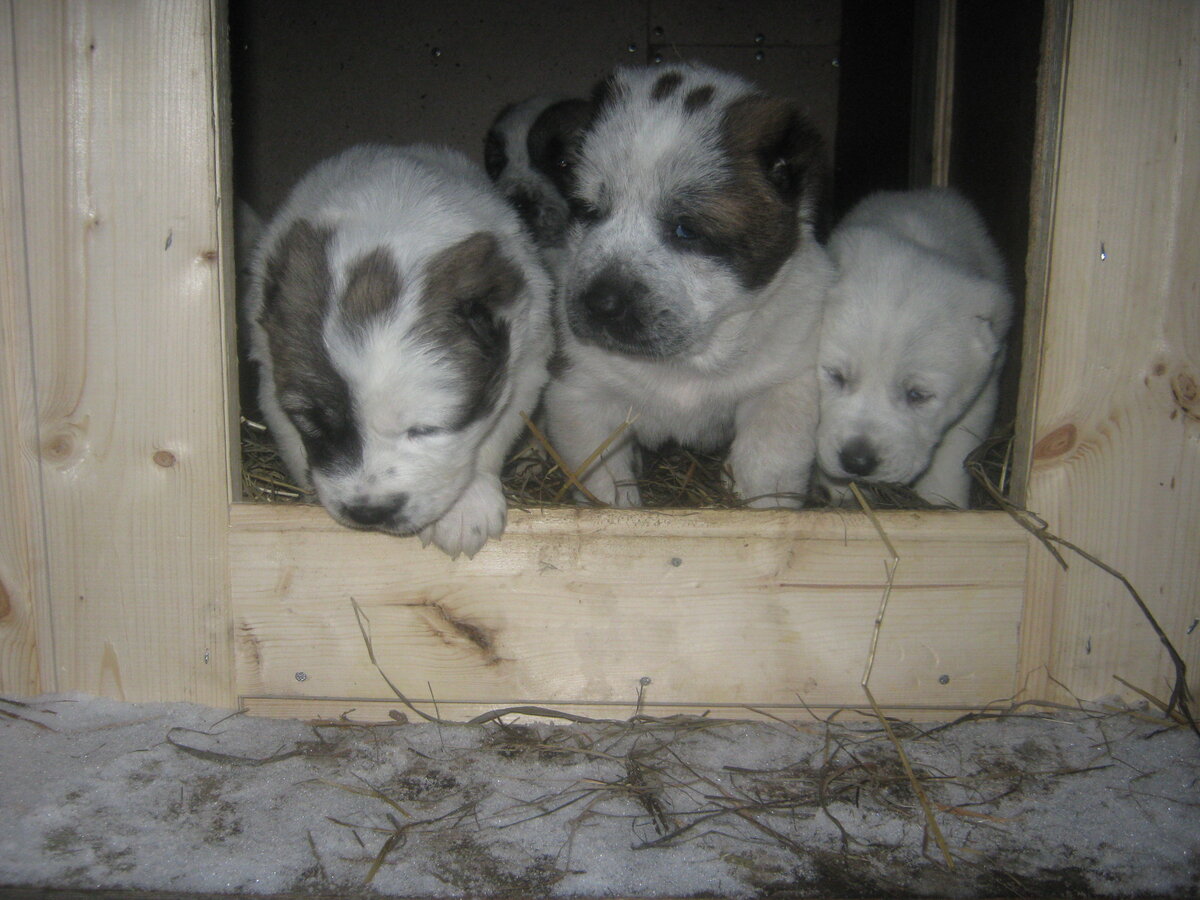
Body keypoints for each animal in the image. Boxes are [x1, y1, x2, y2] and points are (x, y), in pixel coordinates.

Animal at [544, 63, 835, 508]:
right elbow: (604, 480)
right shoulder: (581, 394)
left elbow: (768, 468)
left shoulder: (783, 387)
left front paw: (763, 509)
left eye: (686, 230)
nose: (600, 302)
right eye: (588, 211)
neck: (687, 361)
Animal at [816, 184, 1012, 508]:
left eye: (918, 395)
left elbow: (954, 453)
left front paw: (944, 502)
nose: (857, 462)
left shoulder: (984, 389)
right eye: (836, 377)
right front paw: (842, 491)